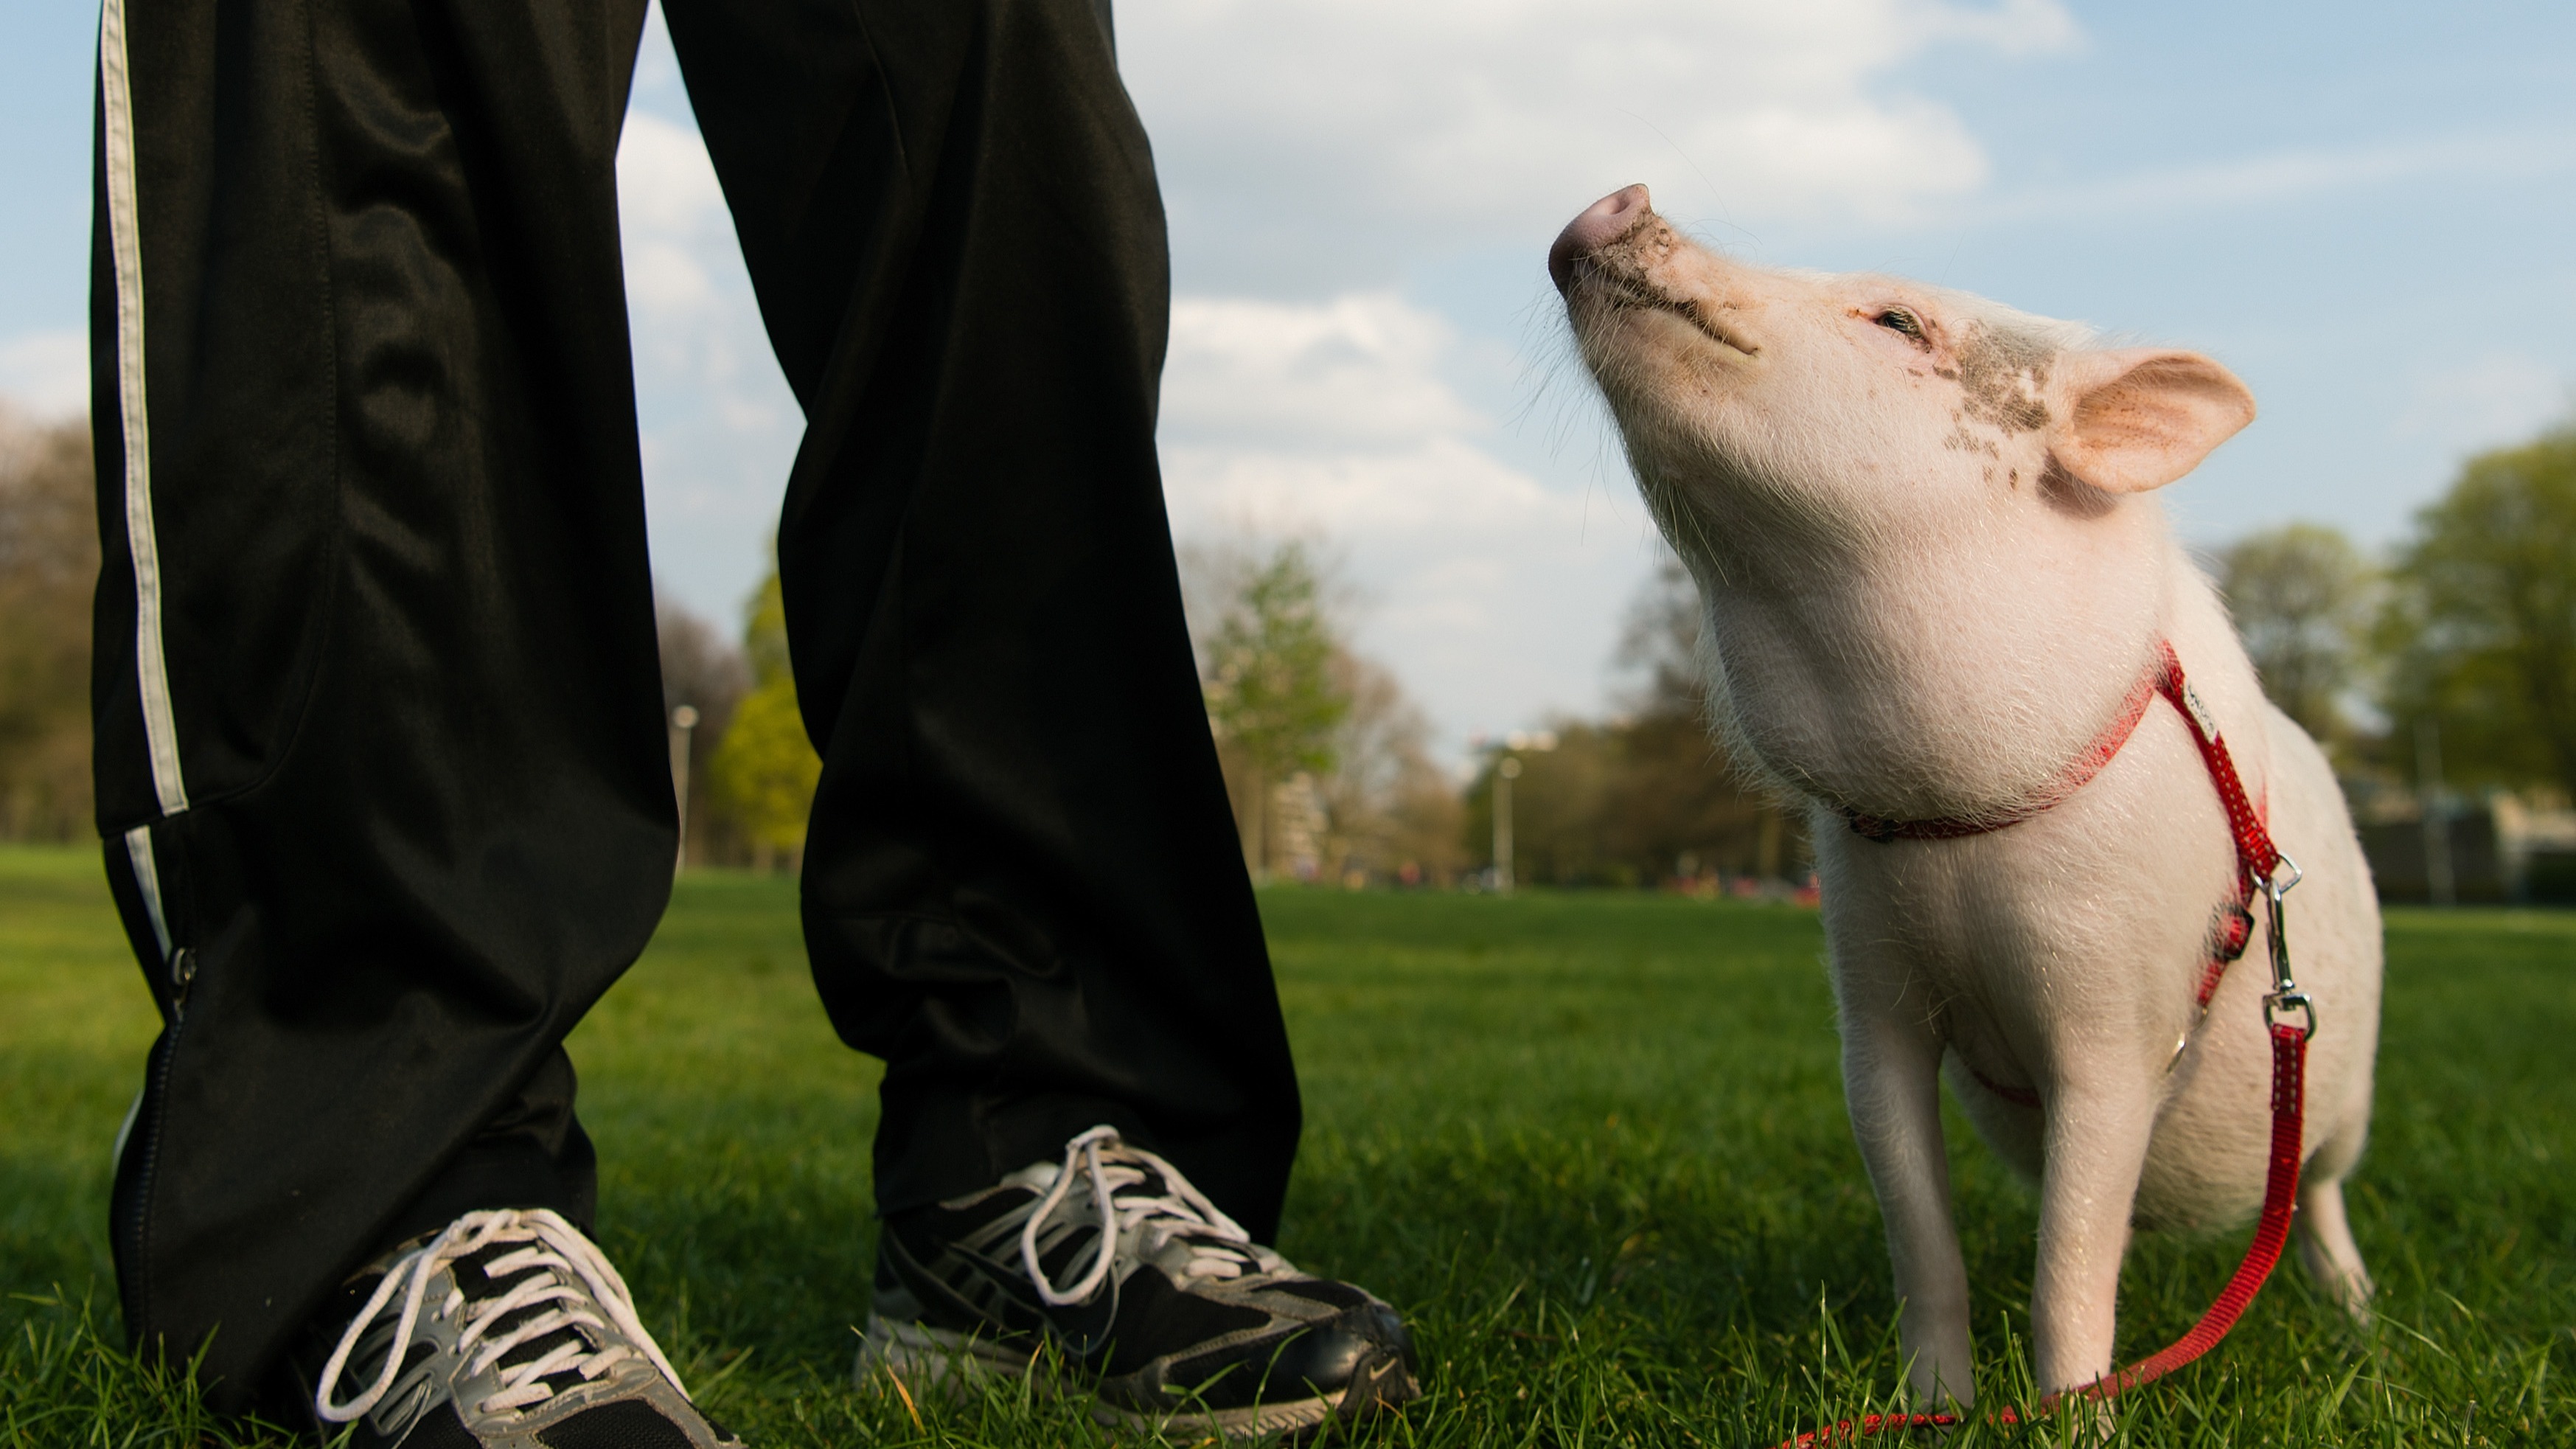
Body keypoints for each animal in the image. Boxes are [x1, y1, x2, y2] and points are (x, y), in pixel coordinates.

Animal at [1548, 184, 2380, 1408]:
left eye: (1896, 320)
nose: (1619, 196)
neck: (1949, 830)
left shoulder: (2112, 1011)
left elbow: (2067, 1256)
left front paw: (2071, 1413)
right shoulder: (1871, 985)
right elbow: (1918, 1227)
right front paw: (1932, 1407)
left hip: (2336, 1086)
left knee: (2314, 1191)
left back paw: (2354, 1311)